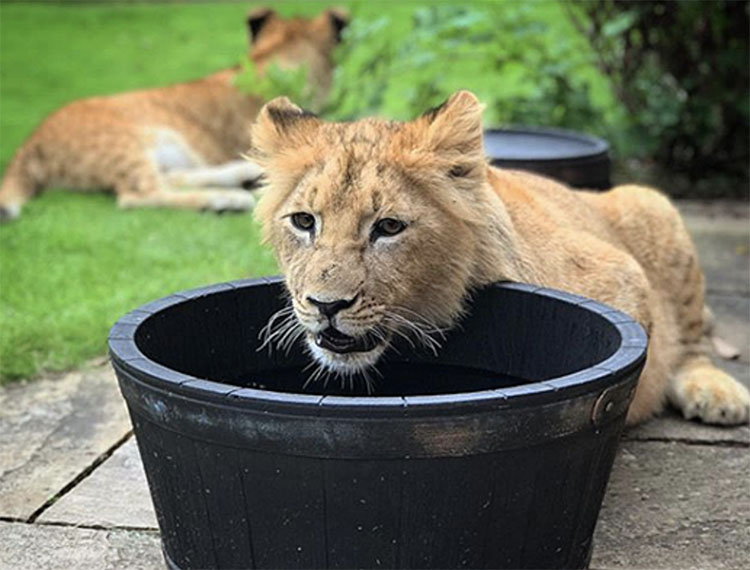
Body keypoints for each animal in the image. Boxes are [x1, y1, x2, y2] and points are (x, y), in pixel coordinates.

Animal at [0, 8, 348, 220]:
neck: (270, 56)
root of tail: (28, 143)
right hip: (123, 143)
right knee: (138, 194)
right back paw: (226, 199)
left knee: (172, 178)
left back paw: (242, 175)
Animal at [250, 90, 750, 426]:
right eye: (304, 221)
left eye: (388, 228)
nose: (326, 305)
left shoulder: (618, 272)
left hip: (652, 204)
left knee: (692, 342)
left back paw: (717, 394)